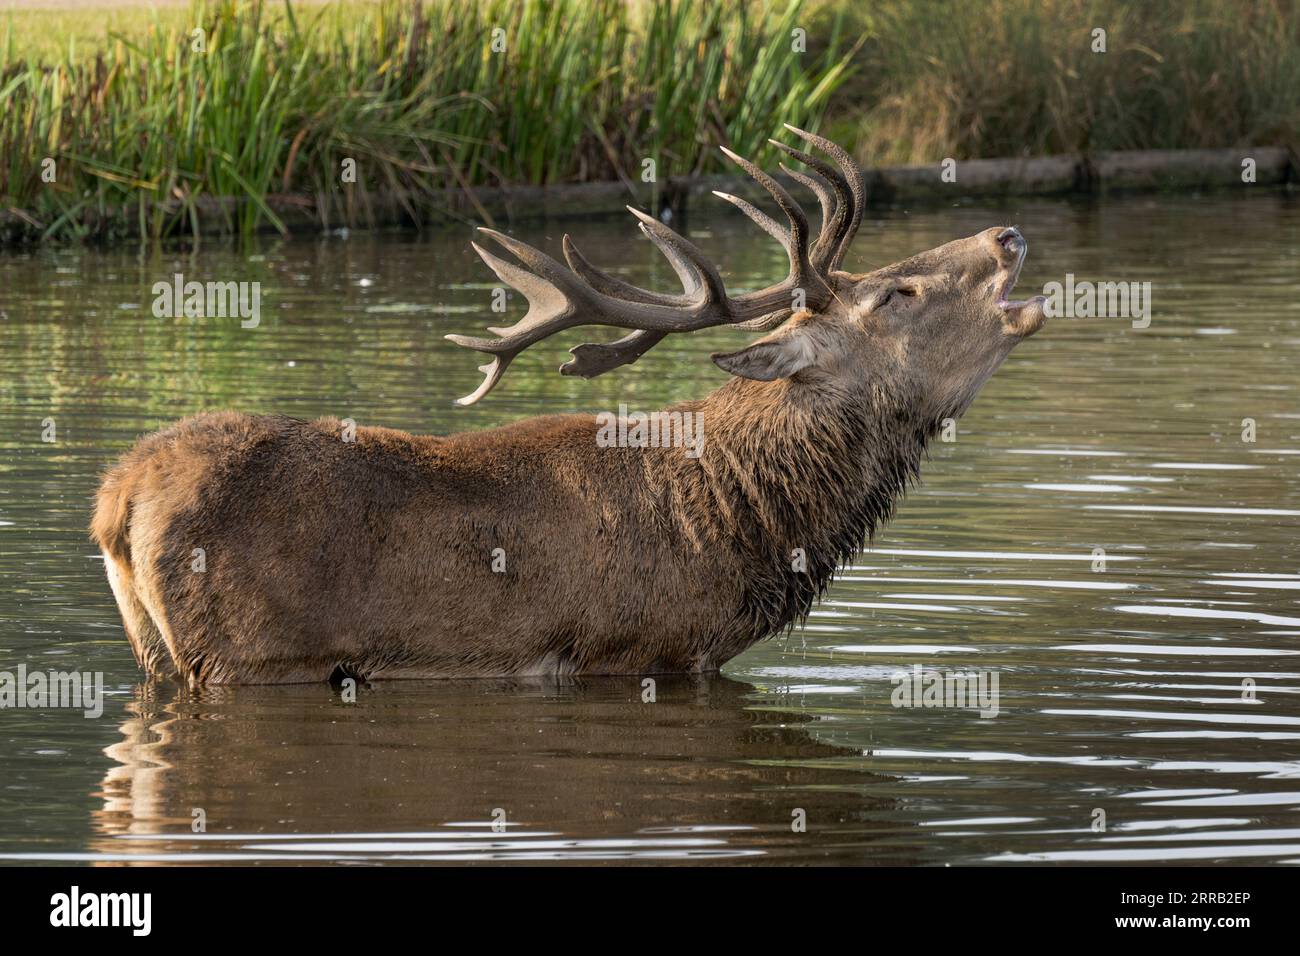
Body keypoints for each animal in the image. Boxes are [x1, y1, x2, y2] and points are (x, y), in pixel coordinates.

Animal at [91, 127, 1047, 685]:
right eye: (897, 292)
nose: (1006, 234)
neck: (743, 522)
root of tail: (116, 498)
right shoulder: (648, 651)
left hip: (158, 653)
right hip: (242, 655)